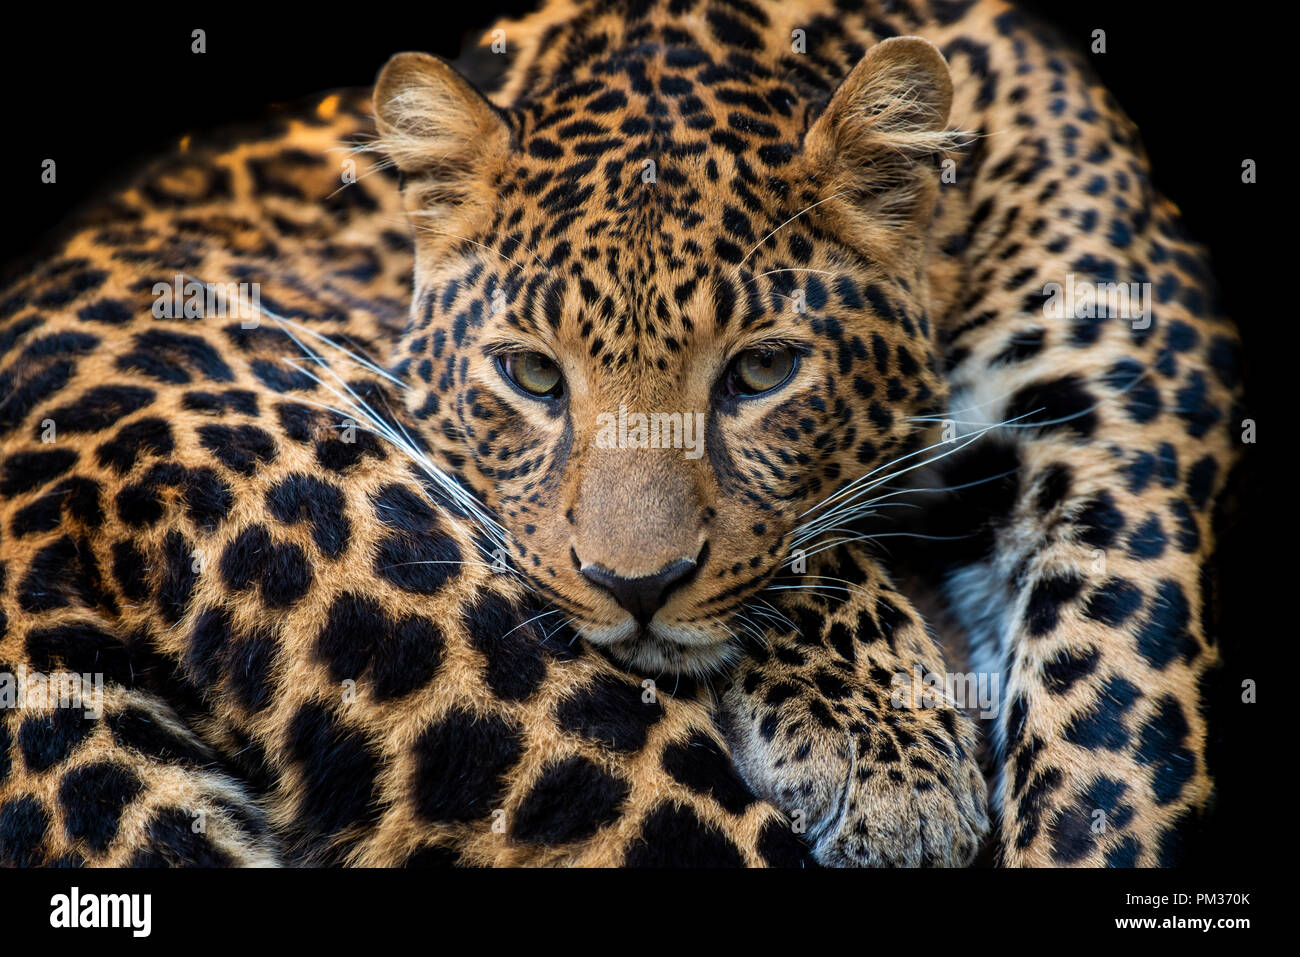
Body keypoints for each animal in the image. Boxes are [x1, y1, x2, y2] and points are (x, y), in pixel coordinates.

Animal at [0, 0, 1241, 868]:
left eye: (762, 371)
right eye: (530, 375)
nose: (630, 588)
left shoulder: (1114, 441)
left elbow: (1110, 745)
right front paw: (888, 762)